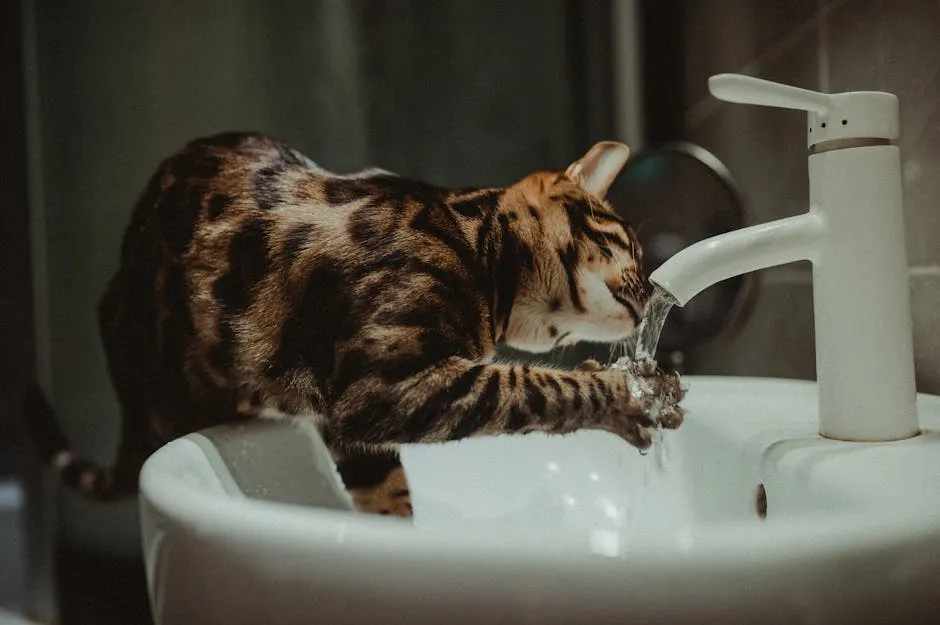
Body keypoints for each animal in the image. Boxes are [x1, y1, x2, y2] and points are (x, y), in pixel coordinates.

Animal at [23, 133, 684, 516]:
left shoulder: (359, 421)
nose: (656, 289)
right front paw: (629, 394)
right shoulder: (385, 388)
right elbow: (533, 386)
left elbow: (396, 497)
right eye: (631, 246)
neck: (473, 246)